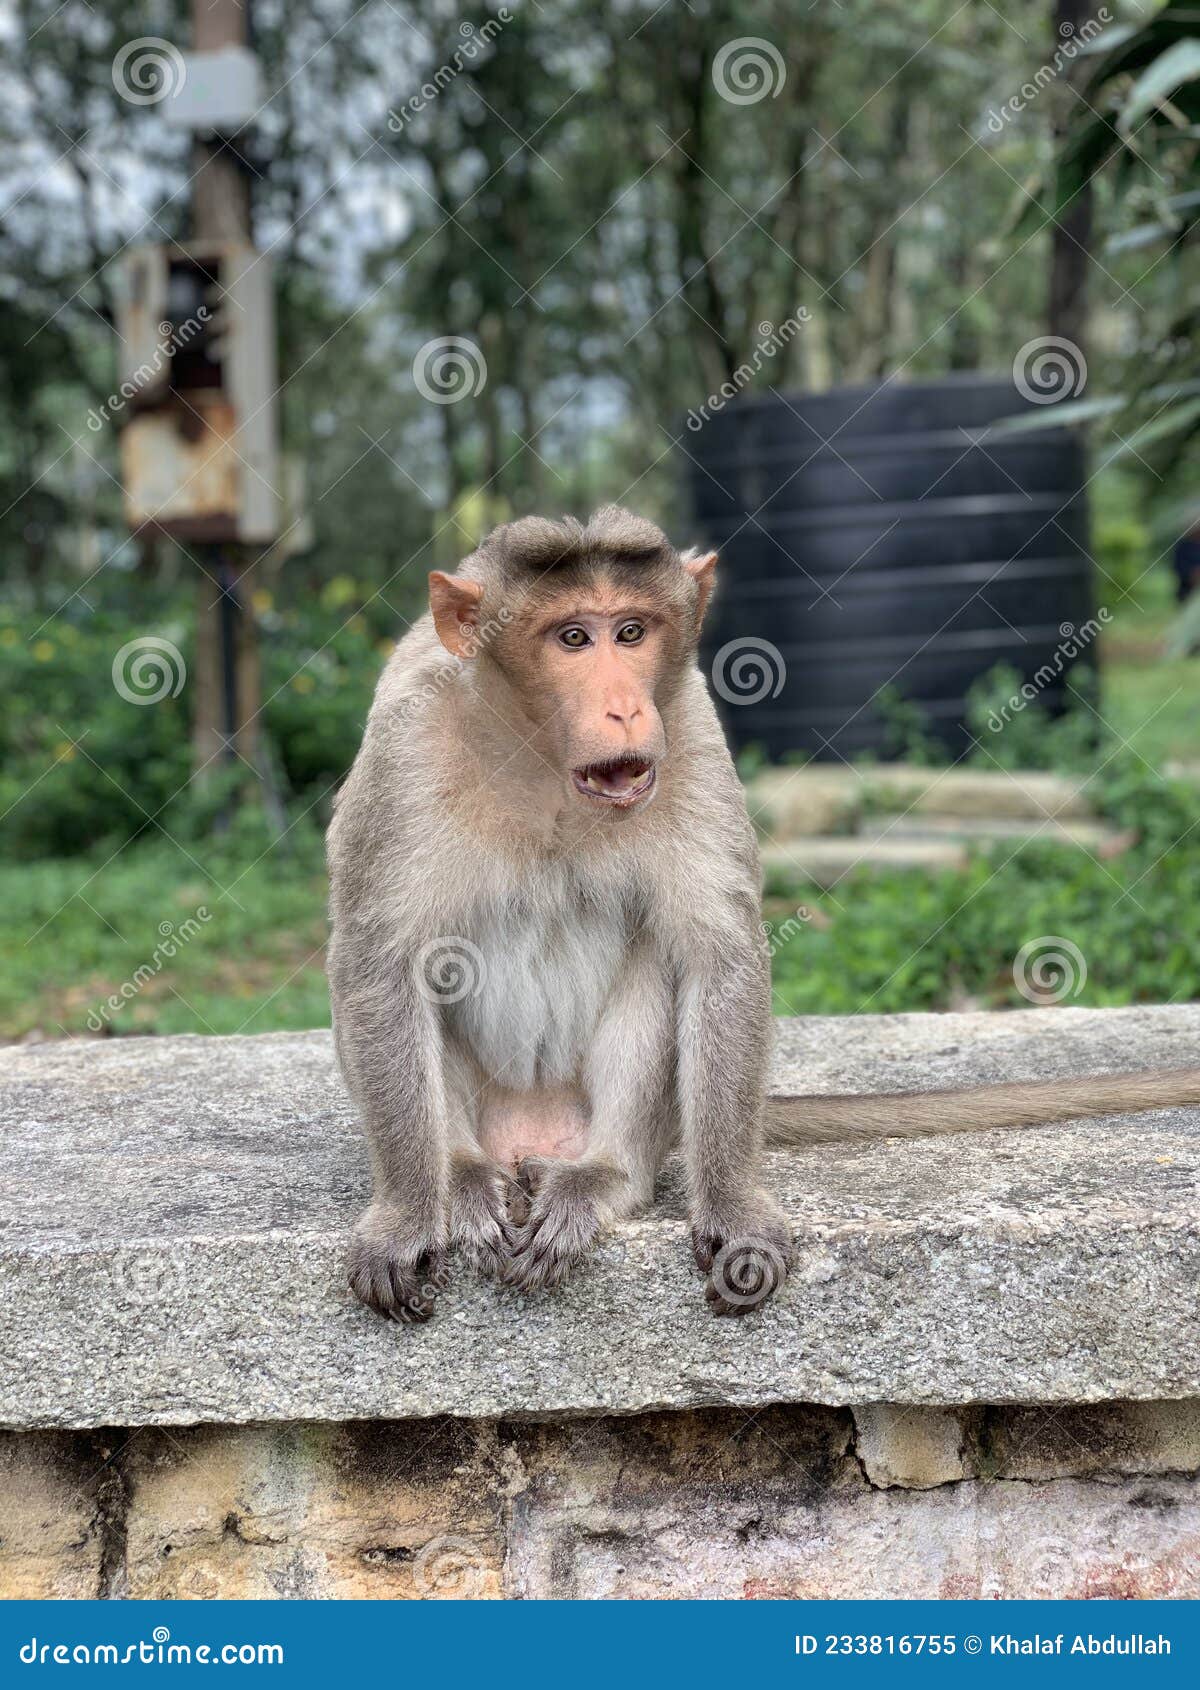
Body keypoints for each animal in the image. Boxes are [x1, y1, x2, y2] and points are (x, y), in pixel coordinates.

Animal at [327, 504, 1200, 1325]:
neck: (544, 766)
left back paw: (601, 1176)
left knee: (660, 962)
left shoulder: (689, 731)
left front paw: (734, 1207)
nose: (624, 710)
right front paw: (408, 1217)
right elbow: (379, 963)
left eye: (631, 632)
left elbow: (720, 956)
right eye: (573, 637)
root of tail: (533, 1137)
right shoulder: (408, 749)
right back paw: (462, 1176)